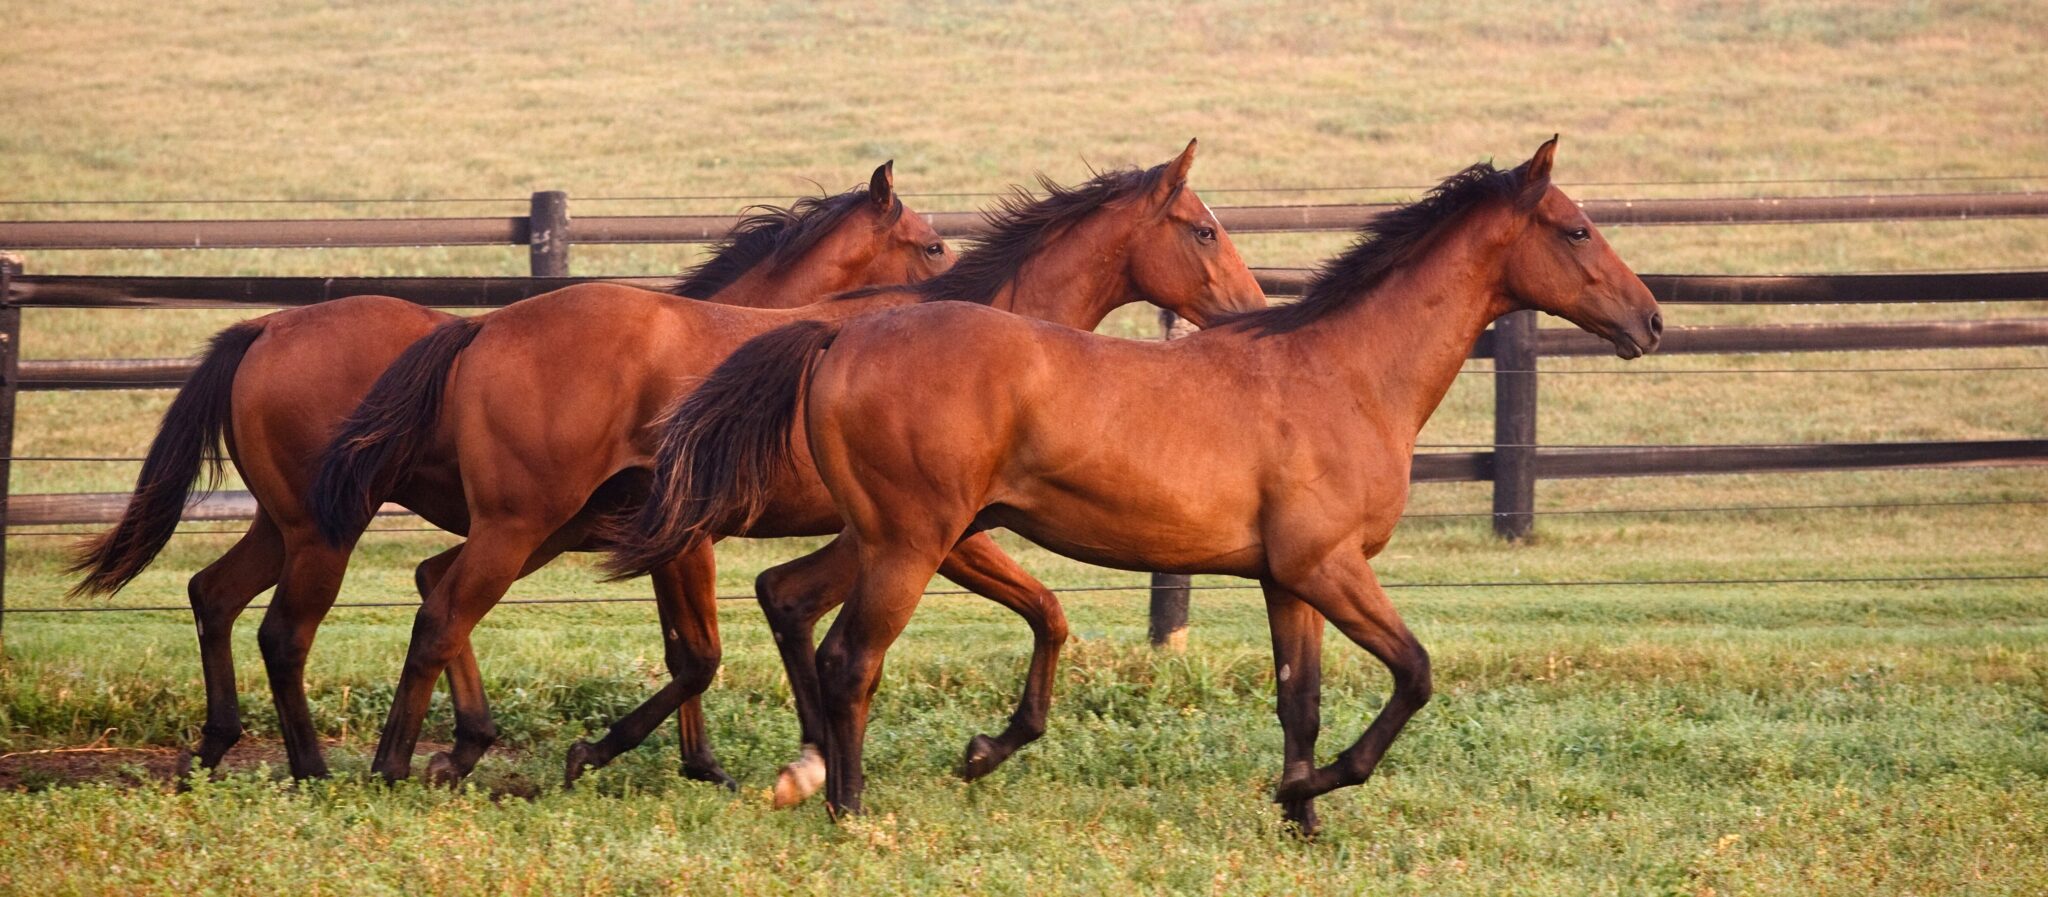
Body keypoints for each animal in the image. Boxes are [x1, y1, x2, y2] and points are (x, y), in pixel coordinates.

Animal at [68, 162, 944, 785]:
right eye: (932, 243)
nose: (948, 309)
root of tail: (264, 325)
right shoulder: (674, 541)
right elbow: (694, 651)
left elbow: (676, 648)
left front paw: (693, 762)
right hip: (328, 532)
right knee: (289, 633)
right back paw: (318, 766)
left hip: (283, 523)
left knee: (214, 595)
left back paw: (220, 745)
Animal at [310, 141, 1267, 790]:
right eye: (1205, 229)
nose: (1253, 310)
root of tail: (483, 327)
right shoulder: (928, 536)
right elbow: (747, 636)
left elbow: (780, 619)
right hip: (524, 523)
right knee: (440, 612)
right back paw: (396, 765)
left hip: (543, 525)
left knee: (437, 589)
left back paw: (454, 748)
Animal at [611, 137, 1664, 832]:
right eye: (1577, 230)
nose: (1650, 320)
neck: (1343, 372)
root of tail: (841, 336)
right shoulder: (1331, 567)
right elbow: (1414, 674)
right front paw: (1307, 790)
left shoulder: (1289, 579)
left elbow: (1300, 699)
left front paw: (1301, 819)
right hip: (913, 544)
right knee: (847, 658)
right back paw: (850, 806)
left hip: (886, 537)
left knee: (790, 606)